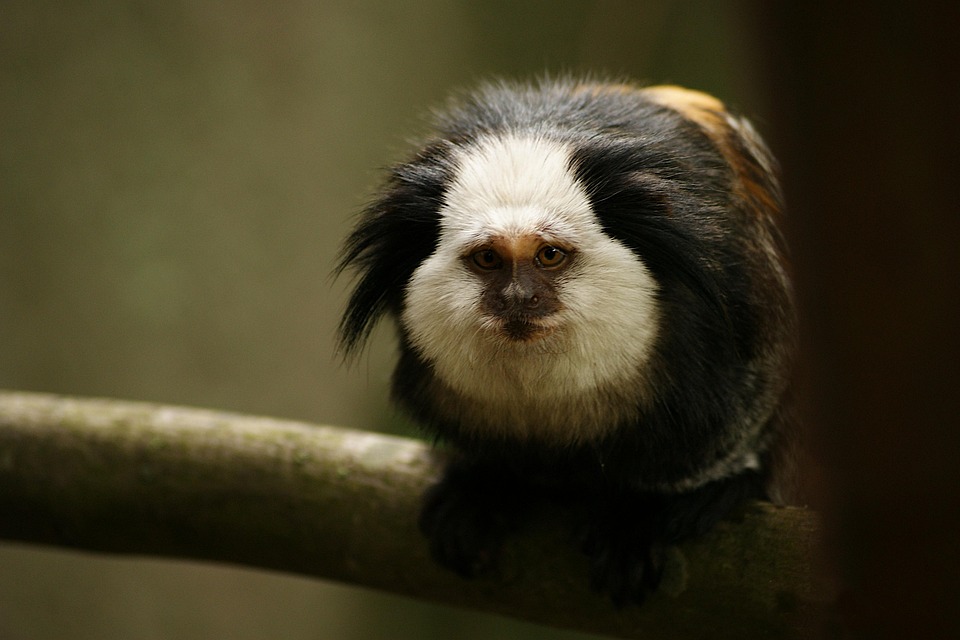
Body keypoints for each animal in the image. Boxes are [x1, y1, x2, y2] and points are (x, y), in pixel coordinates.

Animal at [336, 78, 797, 606]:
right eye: (489, 259)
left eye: (549, 255)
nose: (519, 297)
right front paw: (485, 484)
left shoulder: (734, 287)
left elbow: (761, 386)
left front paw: (644, 514)